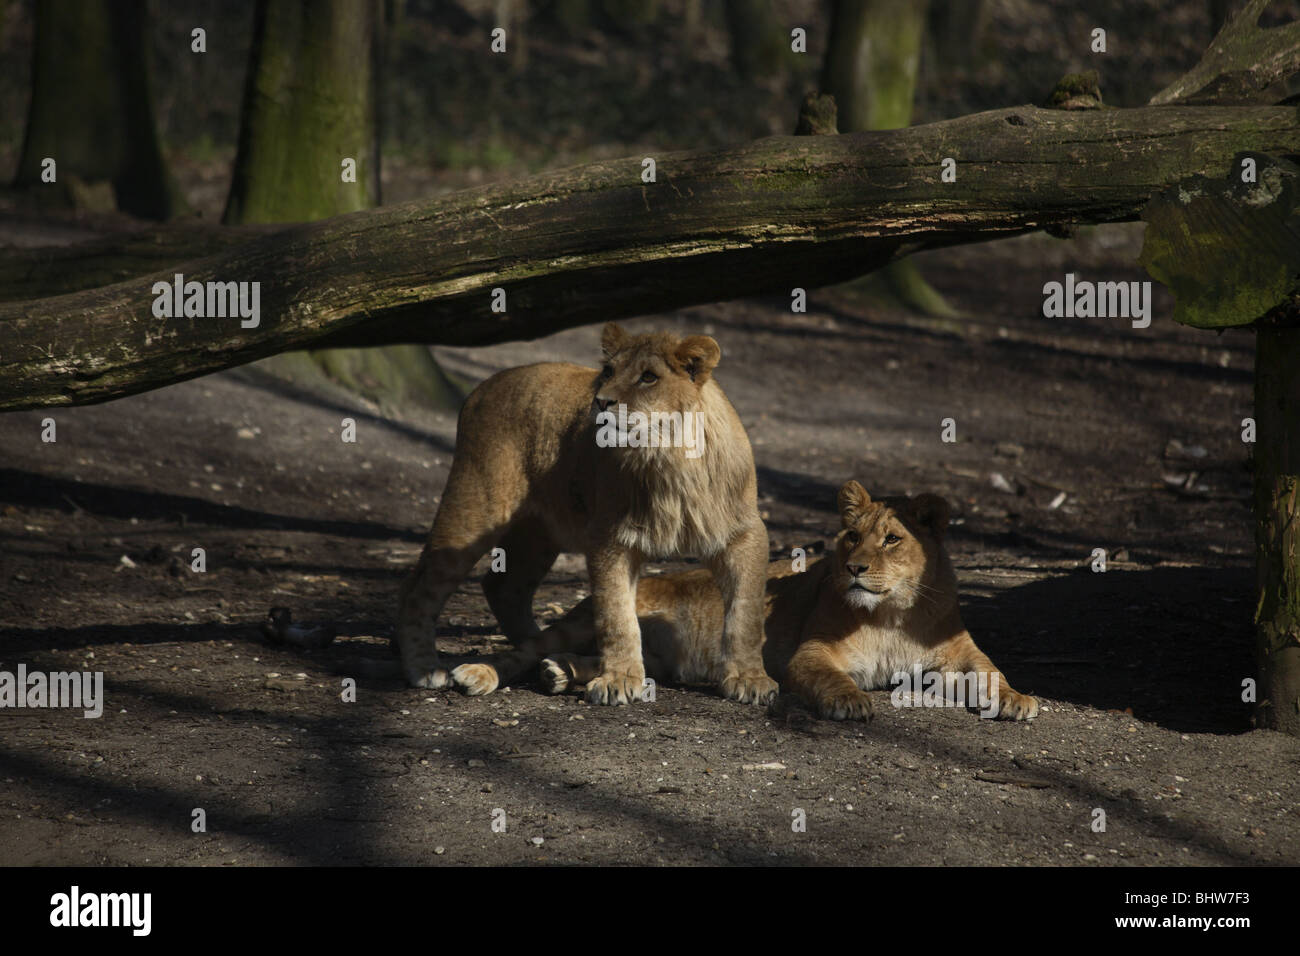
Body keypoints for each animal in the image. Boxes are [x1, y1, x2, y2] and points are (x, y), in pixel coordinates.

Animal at [395, 322, 777, 707]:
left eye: (649, 377)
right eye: (608, 371)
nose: (602, 401)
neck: (667, 457)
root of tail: (483, 385)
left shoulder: (744, 534)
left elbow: (745, 613)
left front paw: (749, 679)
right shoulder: (610, 537)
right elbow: (616, 614)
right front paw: (619, 679)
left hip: (539, 534)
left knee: (505, 587)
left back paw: (537, 654)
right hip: (475, 506)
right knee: (419, 587)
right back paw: (425, 668)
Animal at [470, 480, 1039, 721]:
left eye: (892, 539)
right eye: (852, 536)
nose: (854, 568)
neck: (895, 612)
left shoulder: (957, 654)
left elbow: (991, 671)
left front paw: (1017, 699)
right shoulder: (810, 653)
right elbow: (831, 679)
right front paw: (850, 701)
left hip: (652, 659)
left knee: (622, 665)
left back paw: (561, 673)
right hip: (590, 615)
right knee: (530, 650)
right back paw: (479, 674)